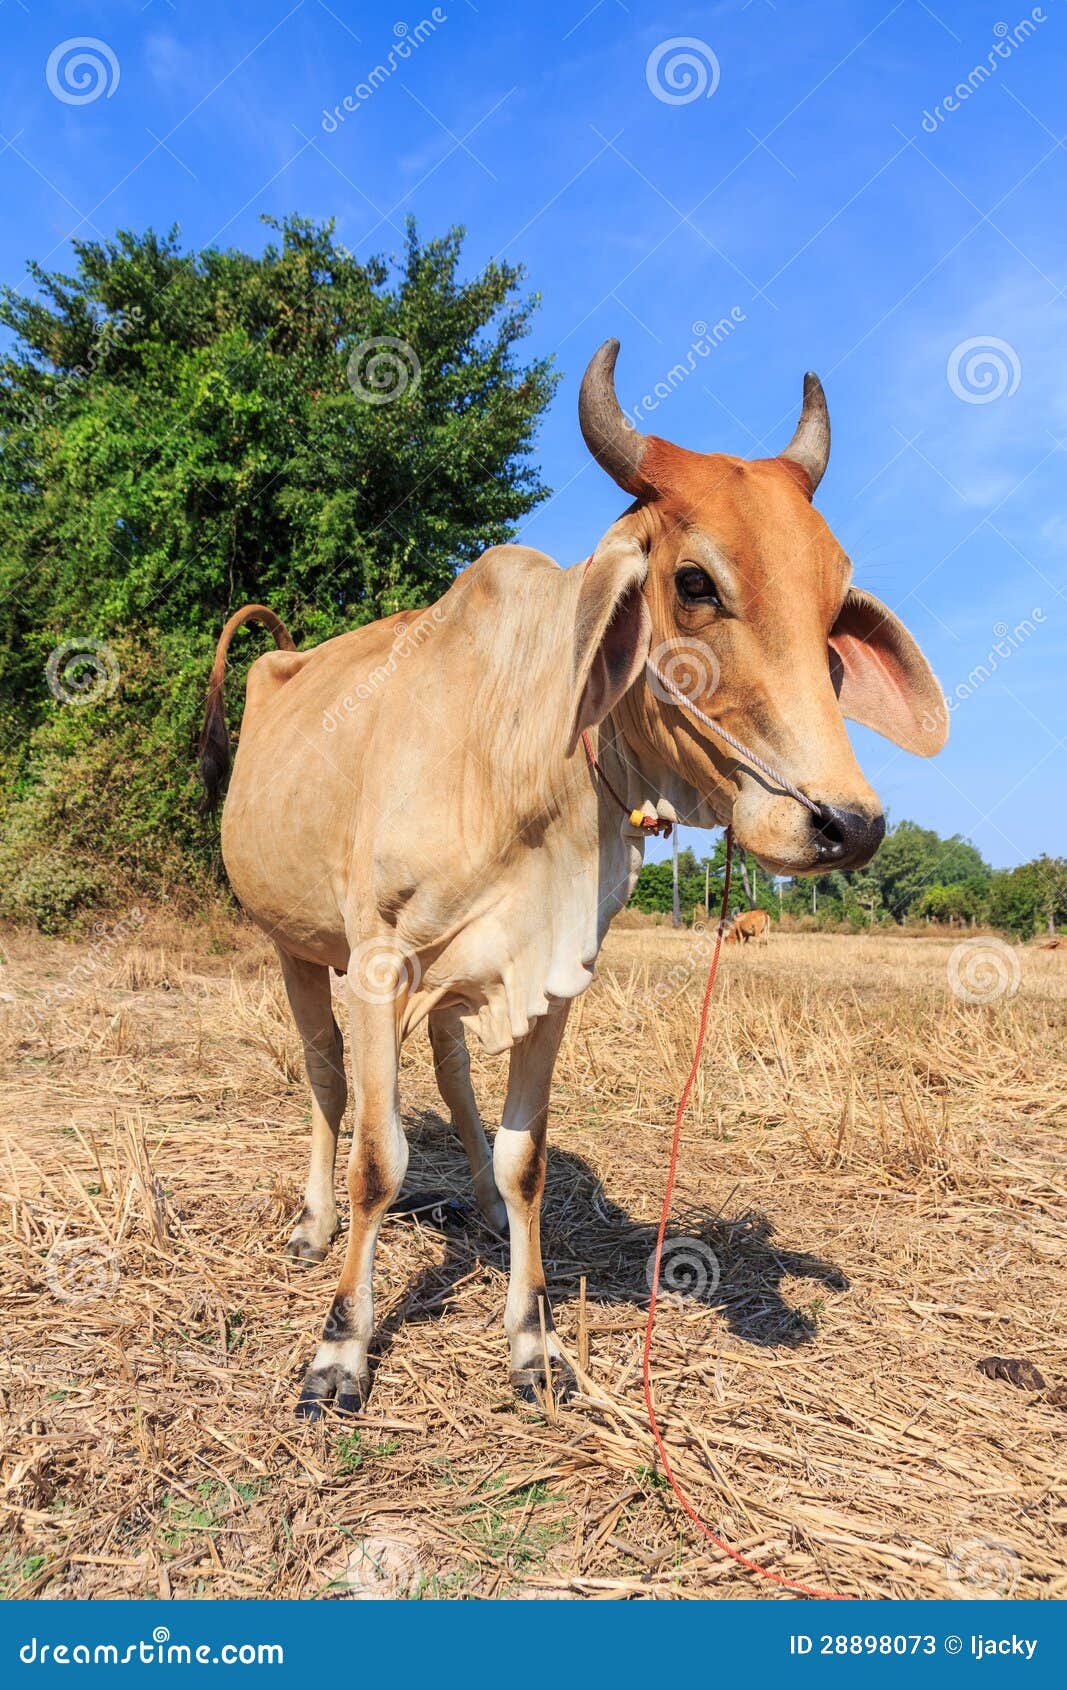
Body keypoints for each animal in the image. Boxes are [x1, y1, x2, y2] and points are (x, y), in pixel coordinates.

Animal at [199, 339, 947, 1416]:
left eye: (830, 597)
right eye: (694, 581)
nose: (845, 822)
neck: (512, 748)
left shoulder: (552, 977)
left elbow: (526, 1159)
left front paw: (532, 1338)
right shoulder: (378, 960)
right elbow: (378, 1158)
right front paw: (340, 1347)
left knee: (447, 1067)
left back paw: (468, 1199)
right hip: (294, 944)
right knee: (327, 1077)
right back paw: (311, 1223)